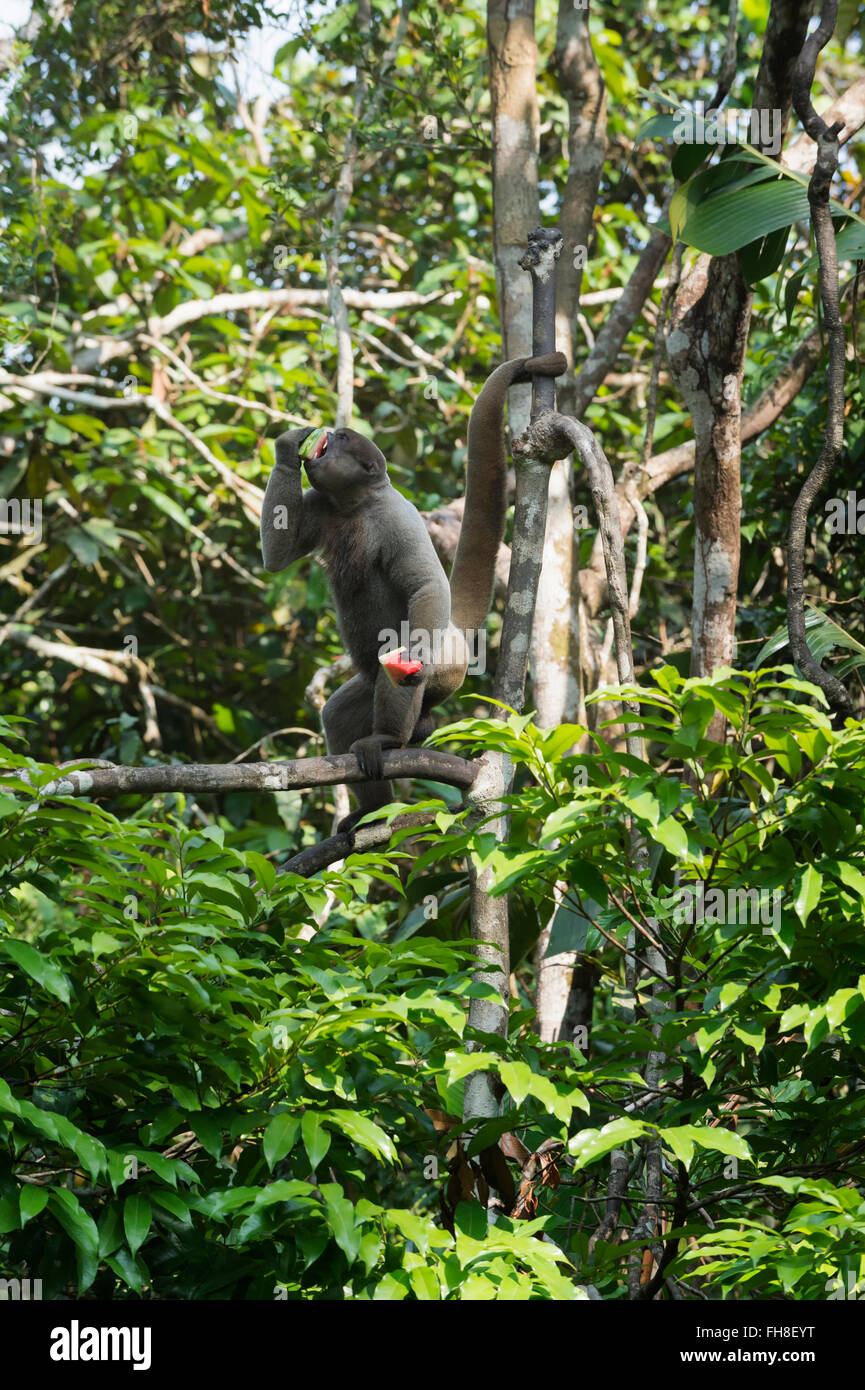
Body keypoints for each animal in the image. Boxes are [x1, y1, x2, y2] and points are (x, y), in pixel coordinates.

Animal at [260, 351, 567, 831]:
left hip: (442, 663)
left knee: (403, 673)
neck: (355, 504)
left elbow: (425, 584)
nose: (330, 432)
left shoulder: (397, 519)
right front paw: (290, 446)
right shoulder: (320, 504)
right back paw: (371, 812)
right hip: (370, 681)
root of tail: (455, 632)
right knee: (340, 714)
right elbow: (277, 556)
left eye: (343, 438)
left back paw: (390, 739)